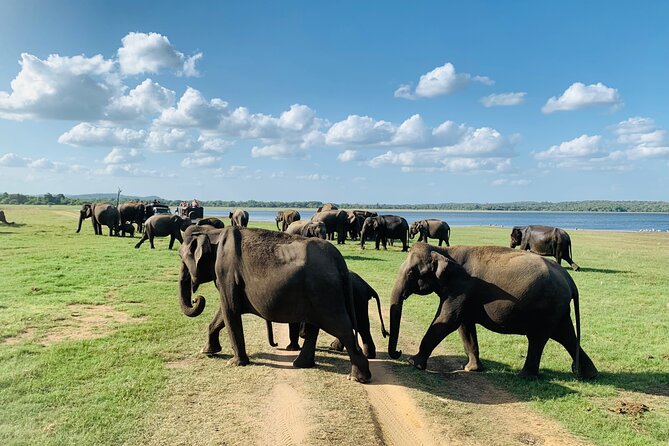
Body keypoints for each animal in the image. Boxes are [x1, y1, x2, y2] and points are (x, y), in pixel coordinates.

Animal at [177, 225, 372, 382]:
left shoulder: (226, 272)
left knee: (341, 327)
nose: (196, 298)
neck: (213, 233)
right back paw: (301, 364)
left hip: (324, 292)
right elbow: (222, 313)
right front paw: (208, 351)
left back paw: (357, 377)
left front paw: (234, 363)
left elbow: (229, 310)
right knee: (315, 326)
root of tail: (339, 260)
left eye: (182, 258)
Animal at [387, 242, 598, 379]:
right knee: (566, 336)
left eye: (412, 273)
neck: (445, 251)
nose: (398, 352)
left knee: (539, 338)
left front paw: (413, 363)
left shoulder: (461, 287)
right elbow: (465, 326)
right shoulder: (466, 295)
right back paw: (590, 374)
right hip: (558, 309)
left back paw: (524, 376)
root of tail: (569, 279)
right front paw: (471, 369)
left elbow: (447, 320)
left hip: (548, 308)